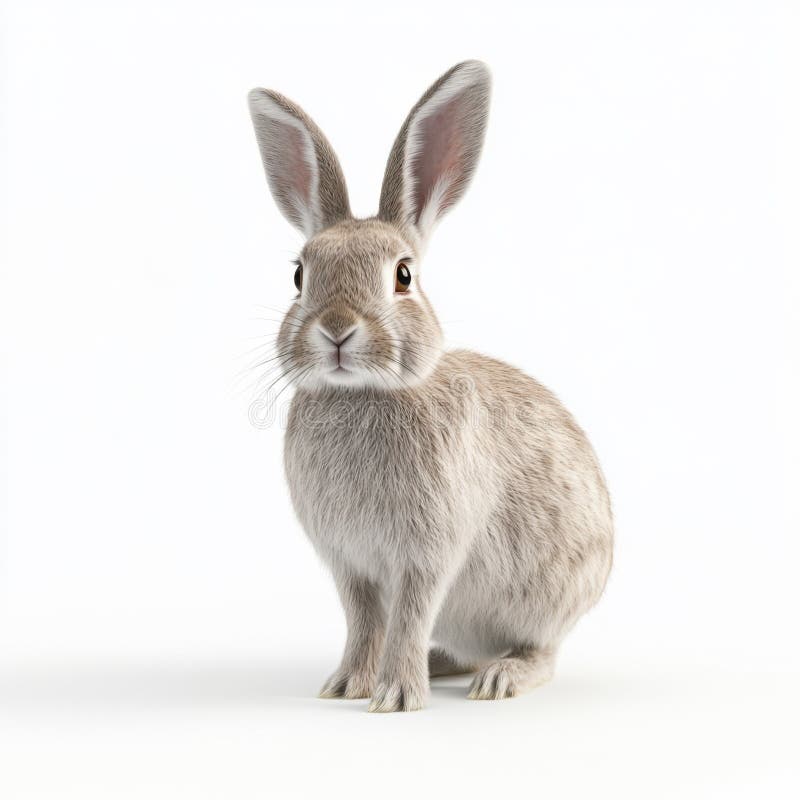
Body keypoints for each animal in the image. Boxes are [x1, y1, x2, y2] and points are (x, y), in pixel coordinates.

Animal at [247, 60, 613, 712]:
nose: (336, 329)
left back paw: (497, 678)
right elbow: (364, 621)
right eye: (298, 275)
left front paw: (394, 696)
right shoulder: (352, 566)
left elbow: (410, 613)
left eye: (403, 275)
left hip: (545, 599)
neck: (360, 393)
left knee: (540, 653)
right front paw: (347, 685)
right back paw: (441, 664)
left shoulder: (426, 555)